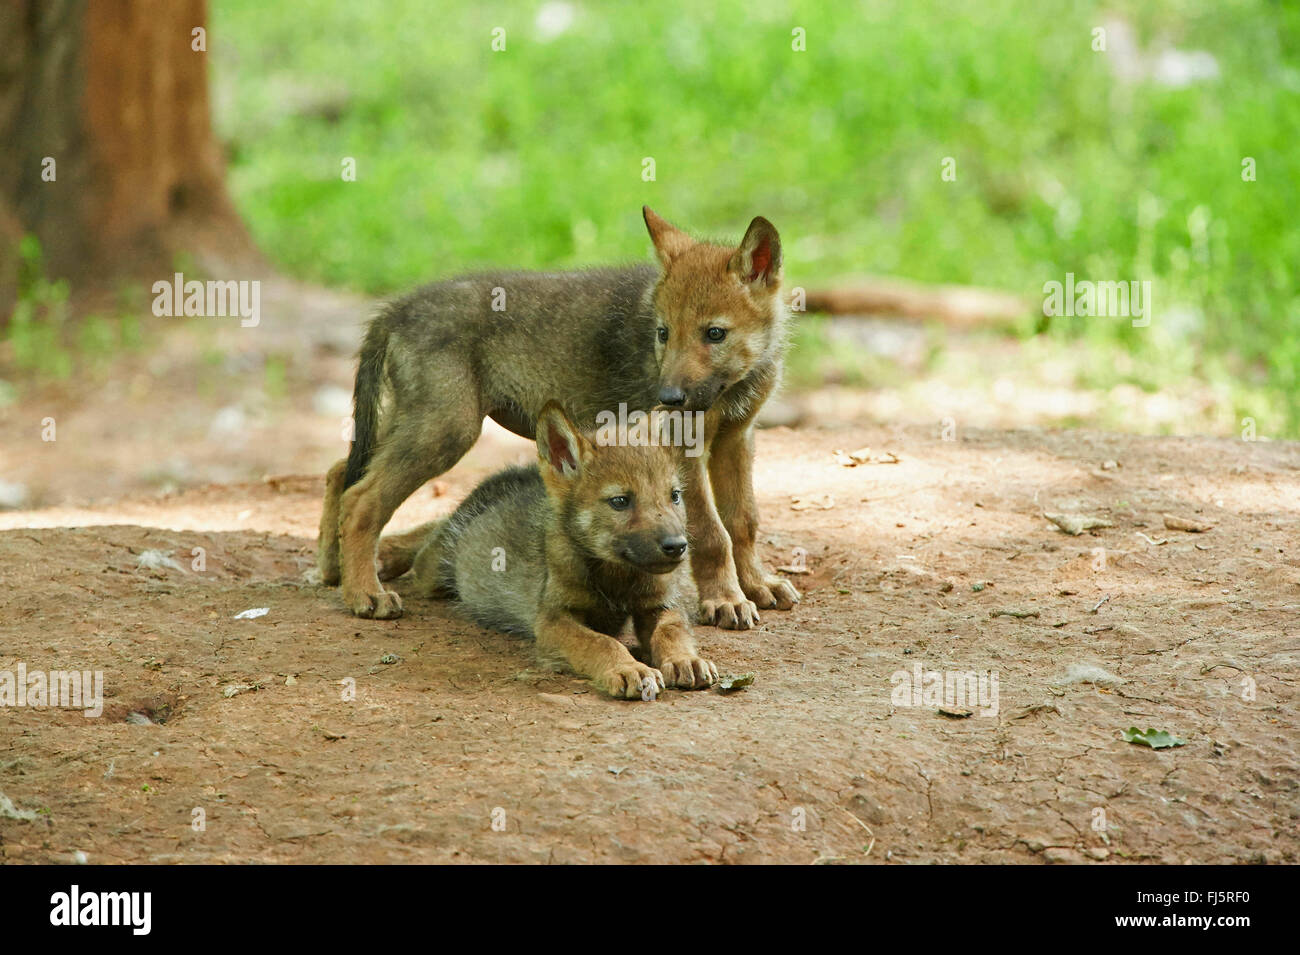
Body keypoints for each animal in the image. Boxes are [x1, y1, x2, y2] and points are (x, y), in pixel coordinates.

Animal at [319, 207, 800, 629]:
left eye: (714, 334)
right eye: (663, 333)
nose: (667, 398)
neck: (736, 381)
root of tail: (393, 310)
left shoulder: (737, 439)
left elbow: (743, 522)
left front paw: (757, 586)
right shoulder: (685, 447)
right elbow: (712, 534)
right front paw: (725, 601)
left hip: (413, 426)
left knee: (340, 471)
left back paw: (331, 569)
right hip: (445, 431)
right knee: (361, 499)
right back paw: (365, 594)